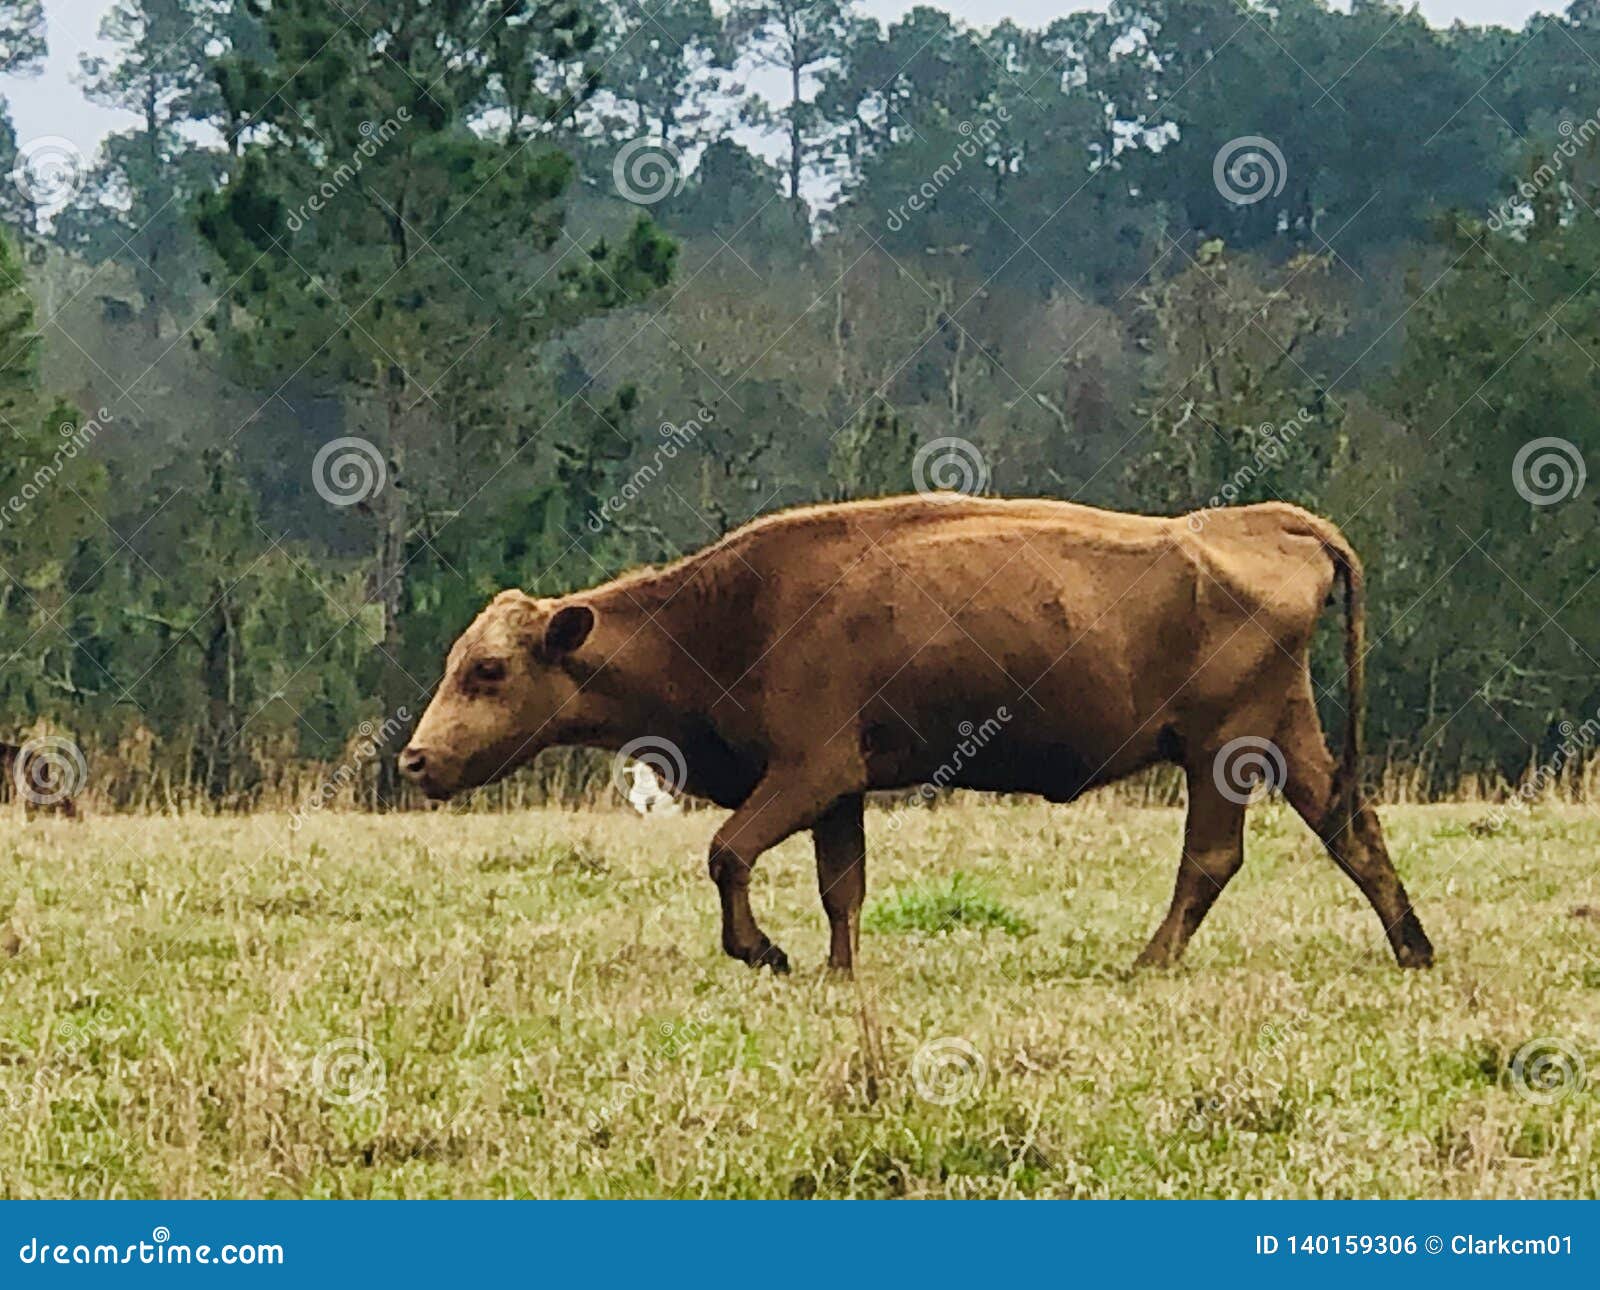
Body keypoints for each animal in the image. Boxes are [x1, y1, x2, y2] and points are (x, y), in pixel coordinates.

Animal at [400, 495, 1434, 975]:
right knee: (1353, 828)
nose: (415, 758)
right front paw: (836, 970)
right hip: (1288, 740)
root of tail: (1270, 523)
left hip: (1224, 752)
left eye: (488, 670)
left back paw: (1147, 962)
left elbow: (727, 852)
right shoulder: (839, 793)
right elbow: (842, 888)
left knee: (1213, 857)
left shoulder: (809, 772)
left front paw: (766, 954)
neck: (733, 612)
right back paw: (1414, 949)